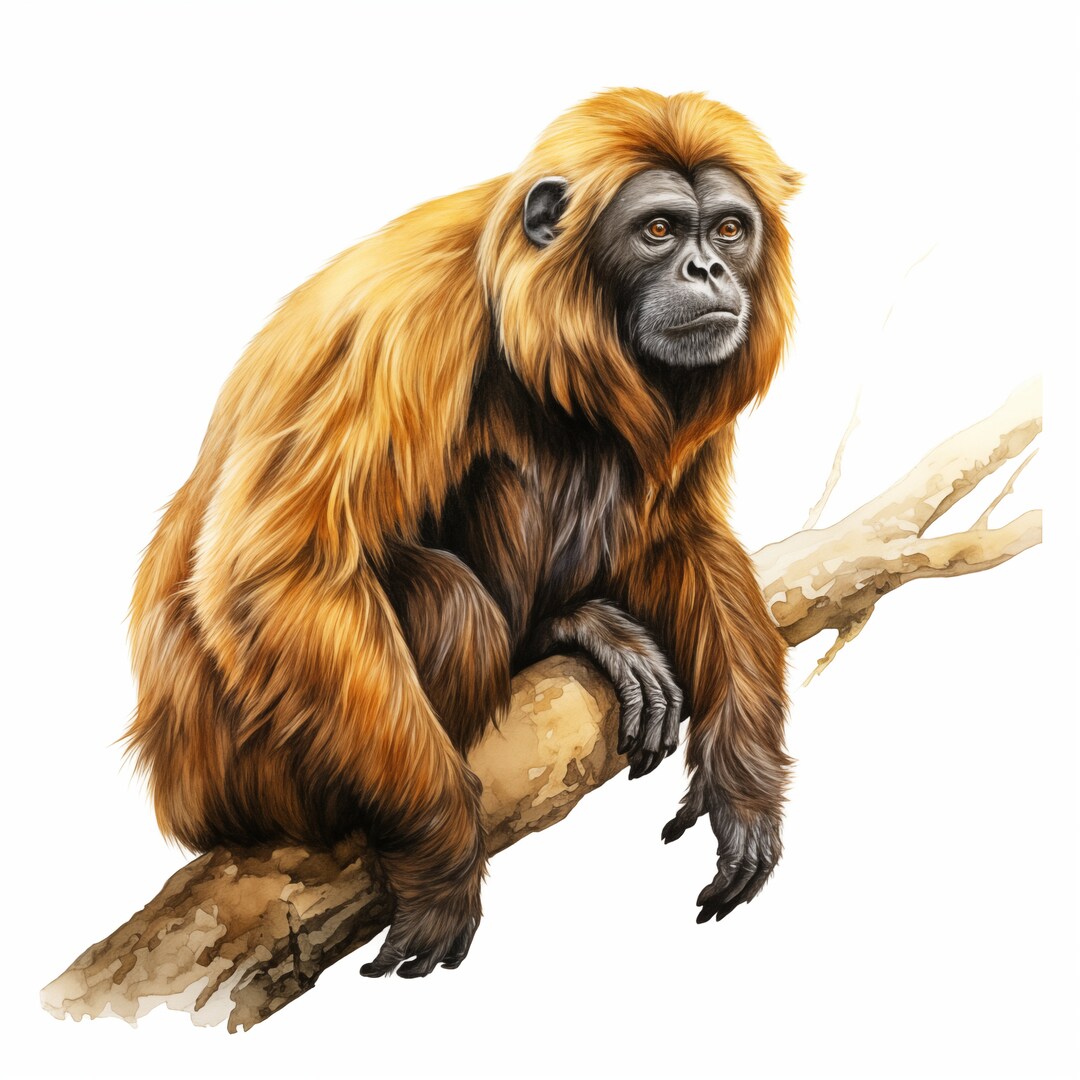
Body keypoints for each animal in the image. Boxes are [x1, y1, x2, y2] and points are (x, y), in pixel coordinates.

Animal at [126, 88, 800, 979]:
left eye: (727, 229)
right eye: (658, 229)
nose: (710, 271)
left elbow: (681, 534)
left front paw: (743, 778)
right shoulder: (401, 326)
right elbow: (277, 574)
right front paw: (443, 853)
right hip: (234, 772)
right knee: (453, 602)